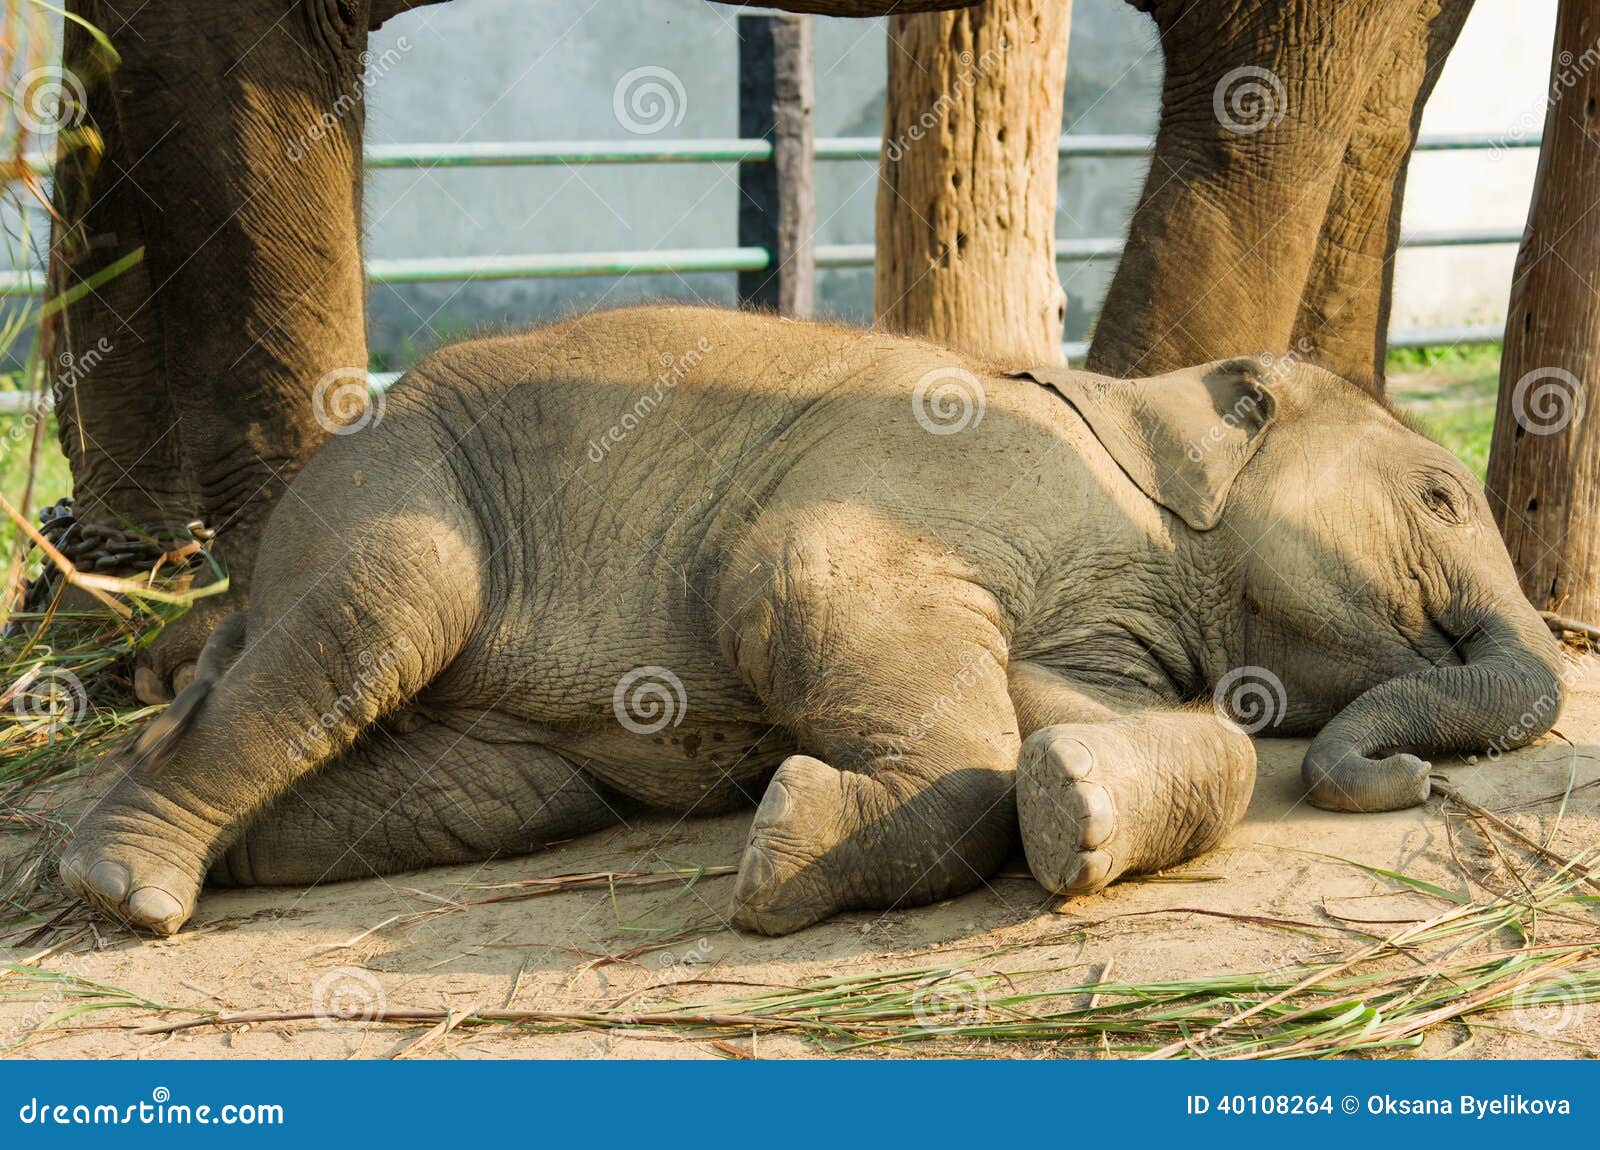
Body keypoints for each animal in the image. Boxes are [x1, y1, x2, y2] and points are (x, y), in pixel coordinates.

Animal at [57, 305, 1566, 937]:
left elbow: (1078, 710)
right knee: (384, 608)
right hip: (401, 482)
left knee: (502, 790)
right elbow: (799, 574)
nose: (1410, 773)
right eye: (1442, 496)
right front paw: (782, 852)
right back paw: (124, 888)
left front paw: (1076, 806)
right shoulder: (952, 479)